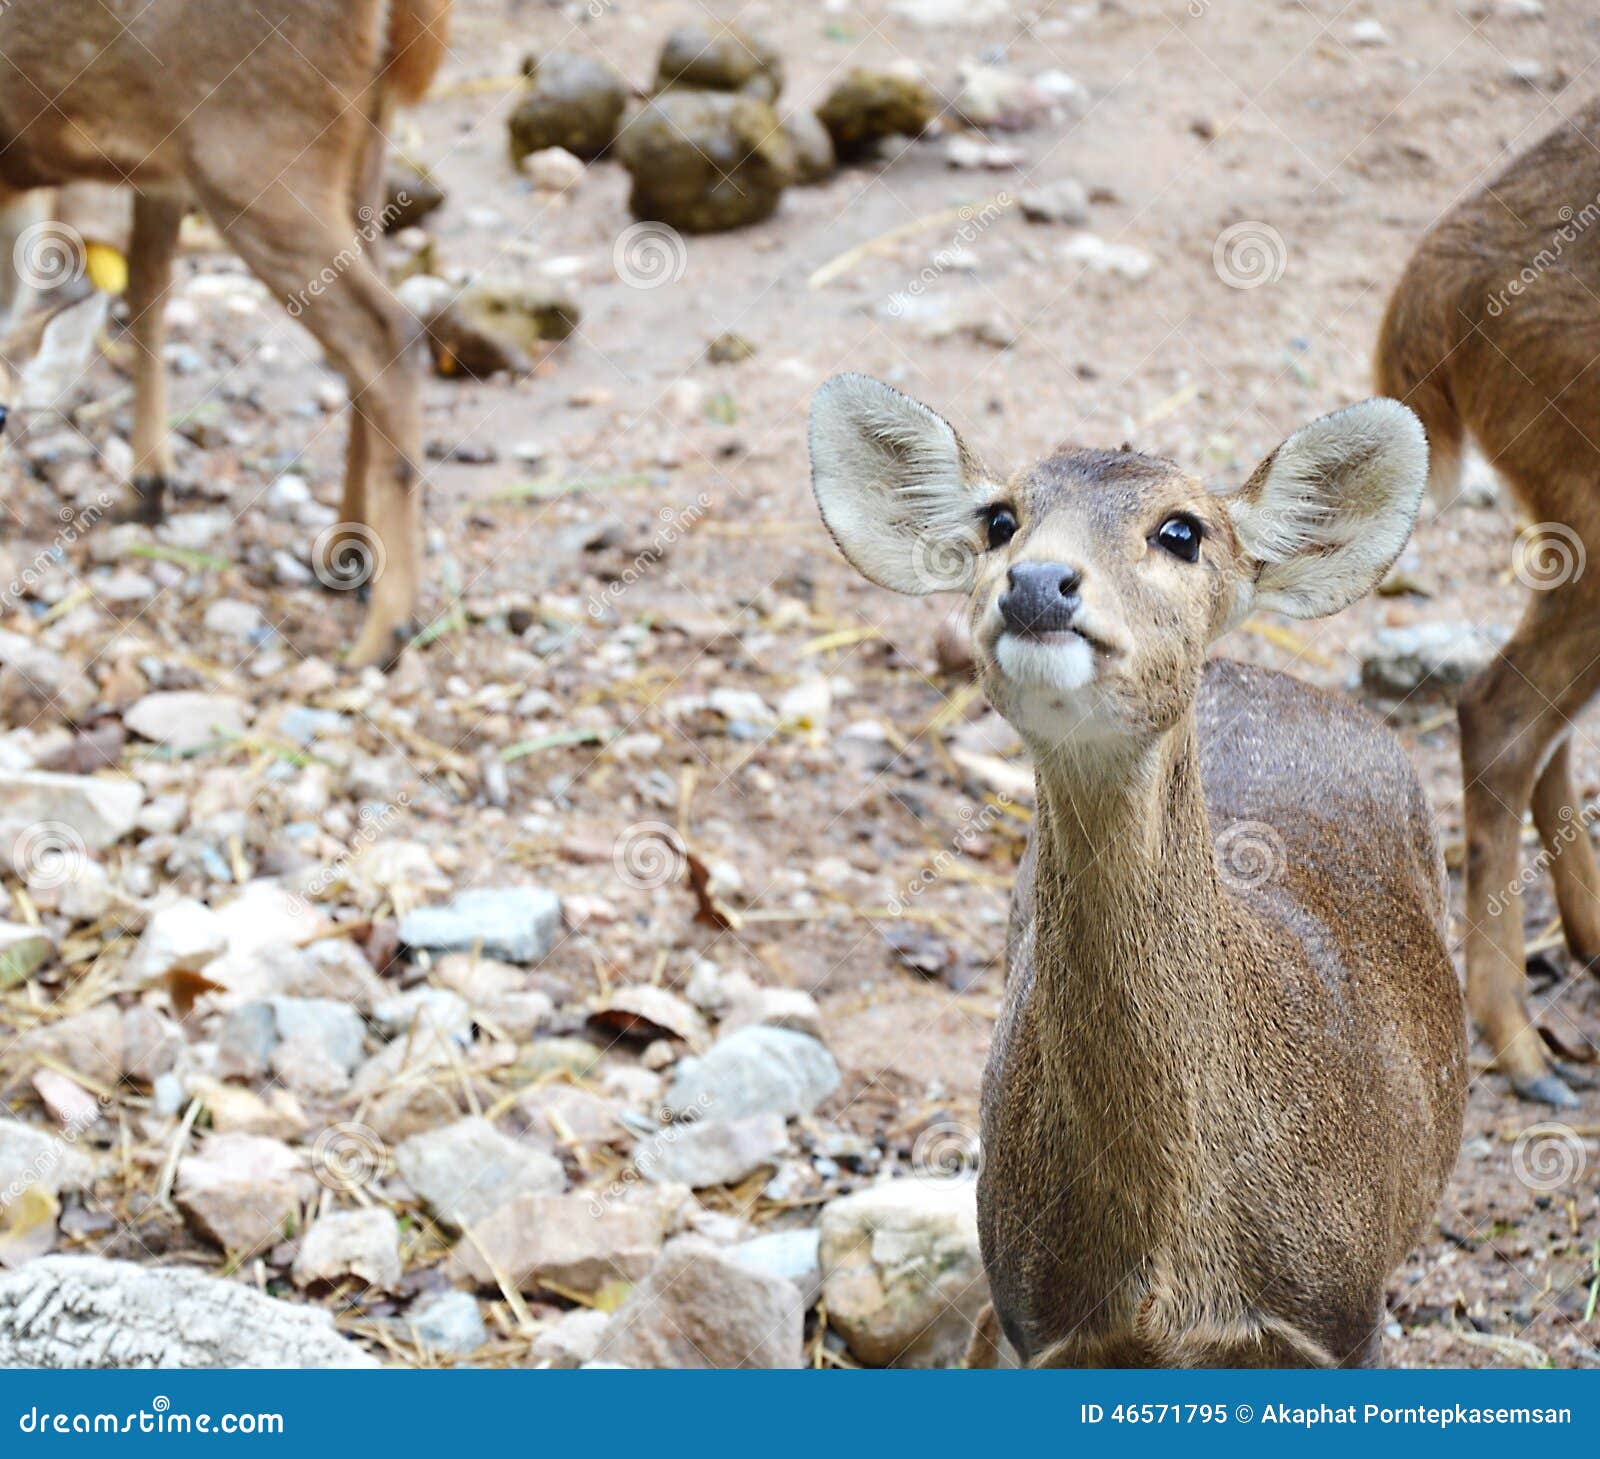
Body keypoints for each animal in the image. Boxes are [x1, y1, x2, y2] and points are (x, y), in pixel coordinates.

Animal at [0, 0, 452, 668]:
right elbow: (147, 279)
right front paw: (150, 484)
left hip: (252, 147)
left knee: (384, 332)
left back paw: (383, 633)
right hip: (359, 139)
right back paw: (348, 547)